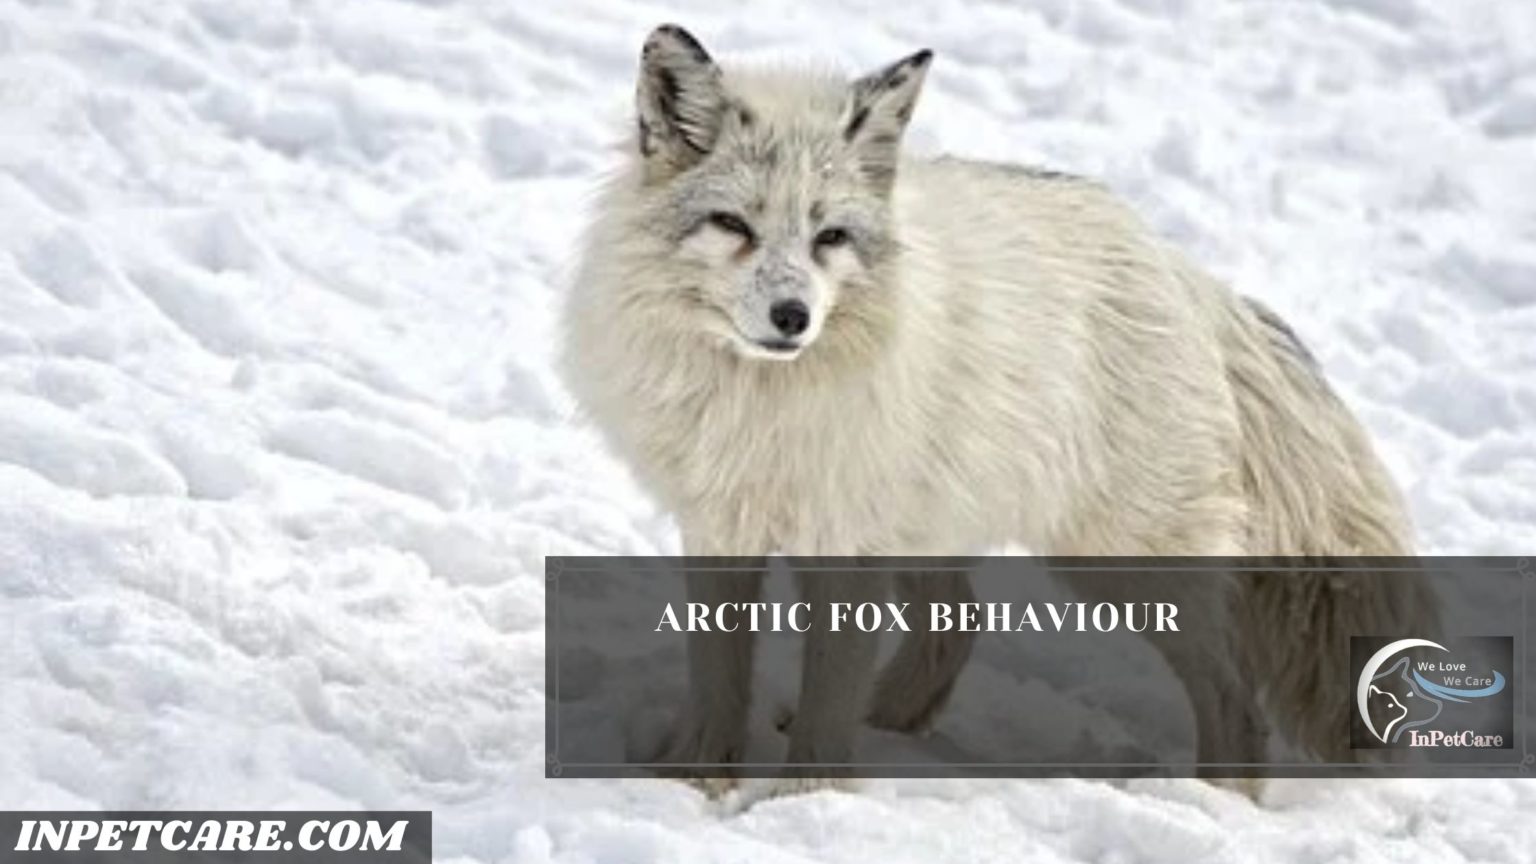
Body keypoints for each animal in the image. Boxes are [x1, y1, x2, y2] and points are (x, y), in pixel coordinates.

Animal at [560, 24, 1439, 796]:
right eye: (733, 225)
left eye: (829, 237)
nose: (792, 317)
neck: (764, 400)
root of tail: (1182, 270)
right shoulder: (721, 524)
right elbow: (721, 676)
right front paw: (696, 779)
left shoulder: (842, 538)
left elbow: (825, 696)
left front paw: (803, 802)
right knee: (959, 621)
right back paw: (889, 727)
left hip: (1121, 560)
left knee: (1235, 699)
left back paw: (1220, 804)